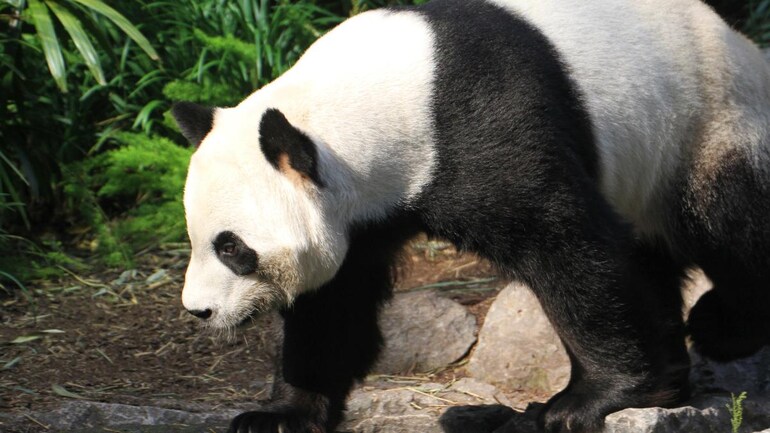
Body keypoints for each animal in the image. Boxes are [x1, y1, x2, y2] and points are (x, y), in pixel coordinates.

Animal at [171, 0, 770, 432]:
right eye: (197, 239)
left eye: (232, 247)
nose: (199, 311)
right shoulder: (362, 217)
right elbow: (333, 307)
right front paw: (277, 415)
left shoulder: (483, 130)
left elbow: (568, 248)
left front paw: (587, 401)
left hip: (708, 122)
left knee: (728, 225)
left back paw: (721, 328)